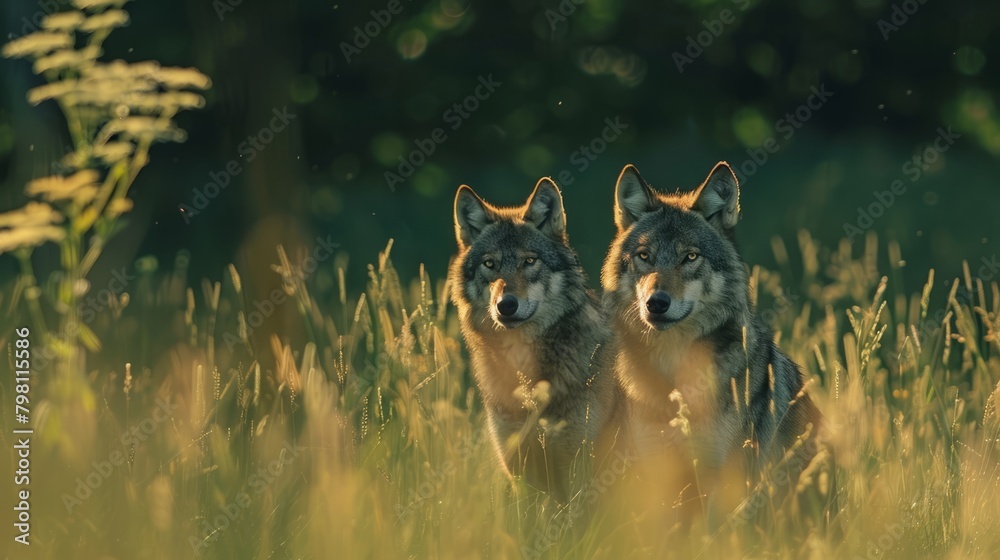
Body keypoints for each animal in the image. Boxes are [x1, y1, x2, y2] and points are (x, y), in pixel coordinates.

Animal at [601, 162, 834, 528]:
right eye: (644, 256)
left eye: (690, 256)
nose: (656, 303)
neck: (674, 376)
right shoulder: (659, 476)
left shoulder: (724, 476)